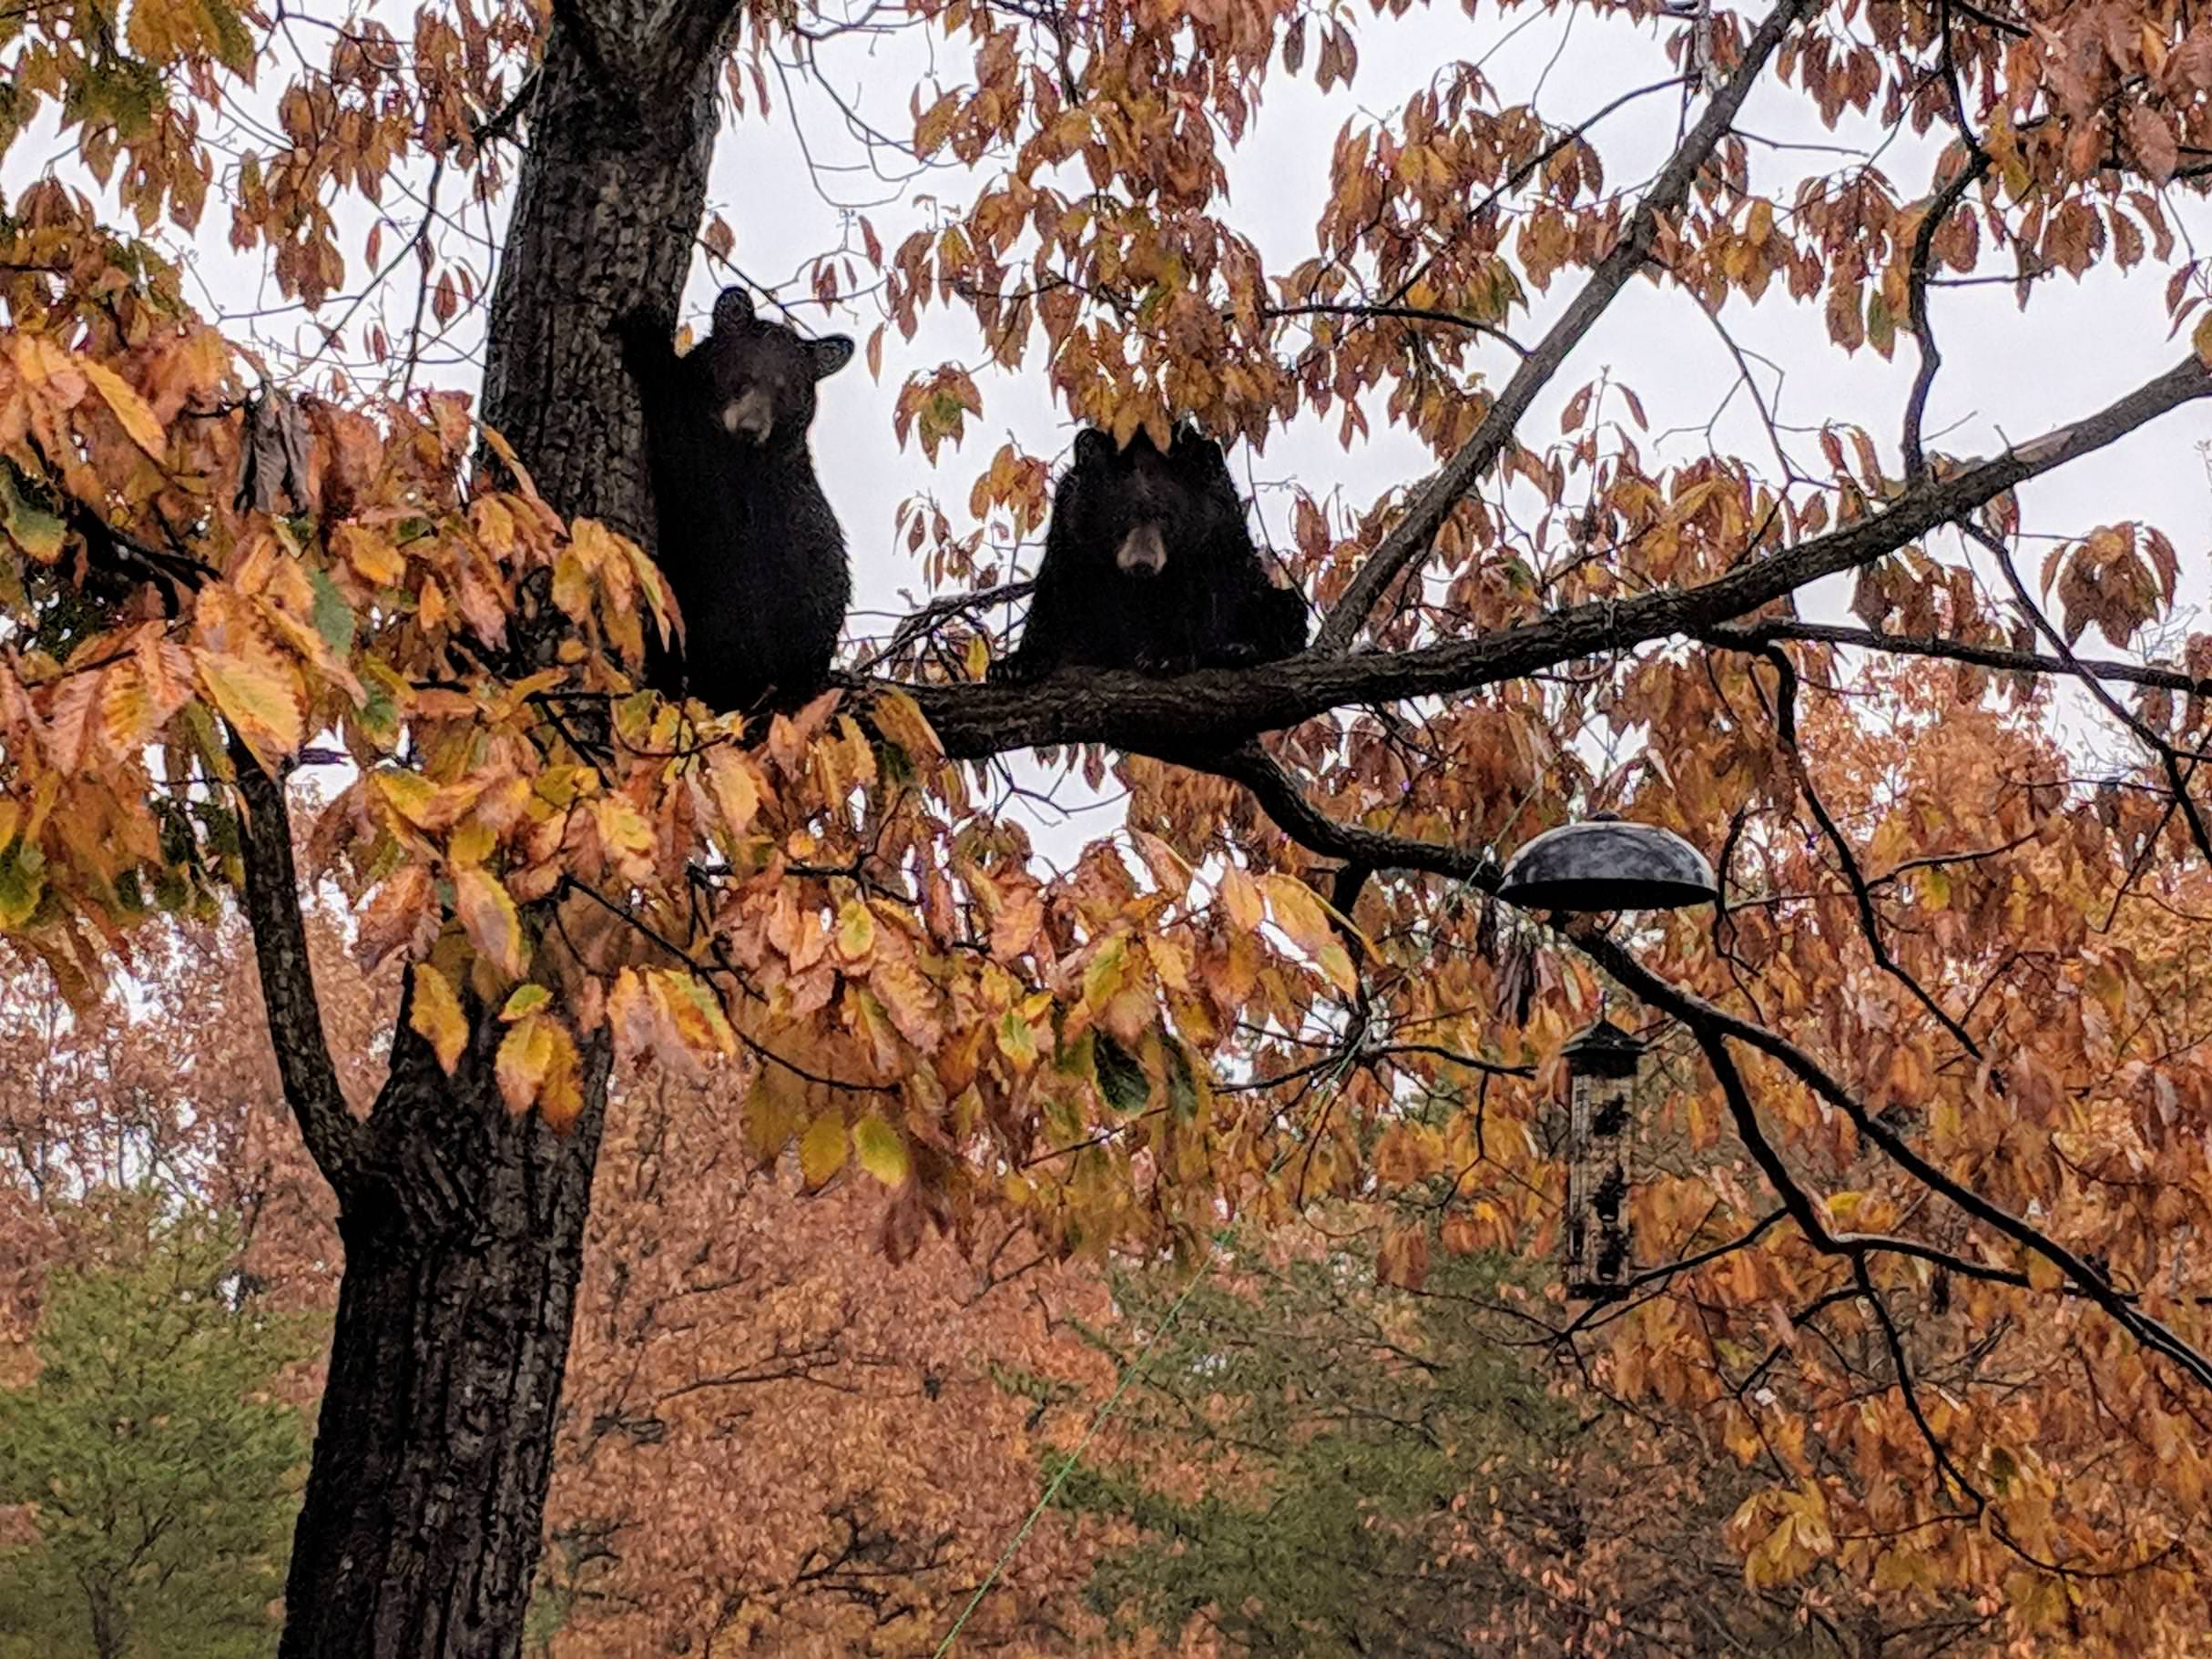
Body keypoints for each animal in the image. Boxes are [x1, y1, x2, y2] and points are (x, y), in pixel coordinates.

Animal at [613, 286, 855, 719]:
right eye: (744, 377)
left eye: (785, 392)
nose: (749, 428)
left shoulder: (738, 491)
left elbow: (686, 456)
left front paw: (647, 335)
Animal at [989, 422, 1308, 686]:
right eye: (1120, 516)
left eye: (1166, 517)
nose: (1141, 564)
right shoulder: (1069, 528)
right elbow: (1056, 594)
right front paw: (1014, 665)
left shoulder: (1215, 535)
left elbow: (1202, 597)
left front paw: (1166, 656)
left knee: (1285, 607)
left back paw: (1238, 650)